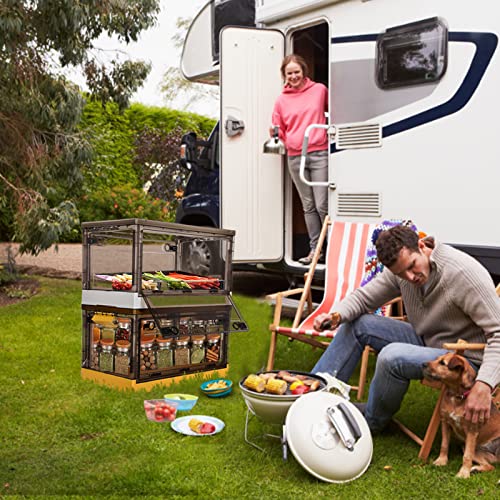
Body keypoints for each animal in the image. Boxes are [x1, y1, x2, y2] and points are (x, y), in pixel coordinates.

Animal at [422, 350, 500, 478]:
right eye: (437, 359)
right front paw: (441, 461)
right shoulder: (445, 423)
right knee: (490, 466)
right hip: (474, 449)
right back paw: (476, 469)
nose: (422, 364)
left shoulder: (472, 430)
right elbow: (444, 444)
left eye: (442, 363)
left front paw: (463, 473)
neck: (457, 396)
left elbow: (467, 456)